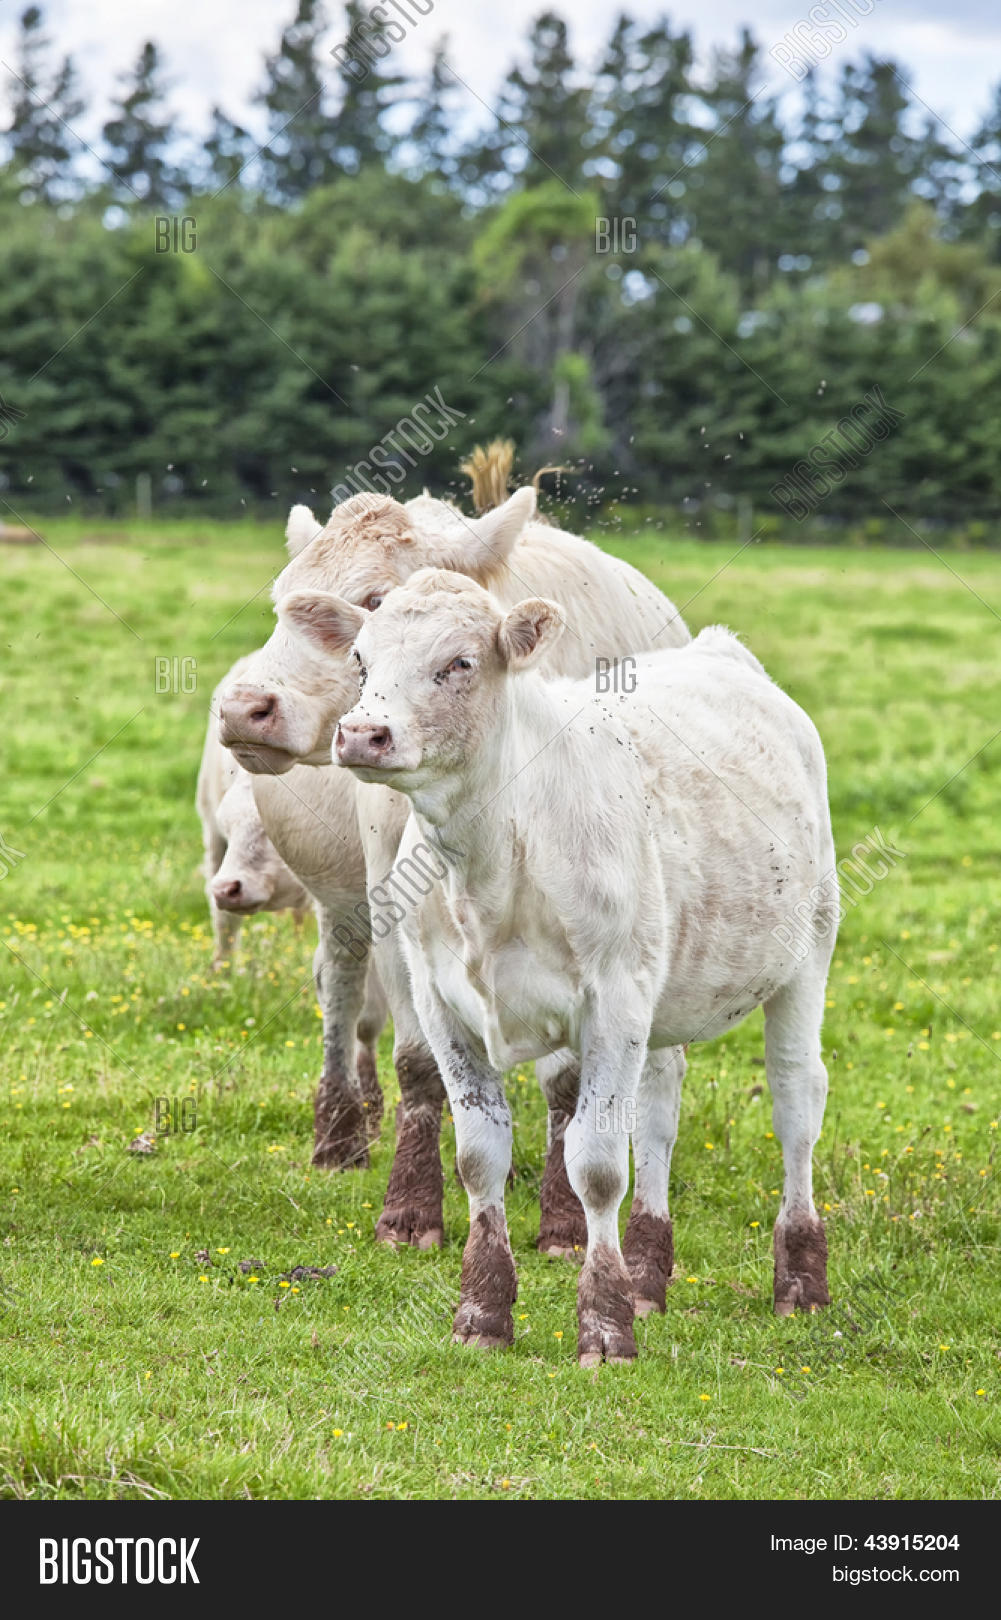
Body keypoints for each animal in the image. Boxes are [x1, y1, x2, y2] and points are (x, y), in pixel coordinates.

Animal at [217, 465, 691, 1254]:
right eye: (287, 598)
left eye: (376, 597)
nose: (243, 707)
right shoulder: (395, 905)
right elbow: (418, 1060)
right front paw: (410, 1206)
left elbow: (568, 1081)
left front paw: (562, 1215)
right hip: (342, 905)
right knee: (344, 995)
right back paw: (342, 1127)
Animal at [277, 568, 837, 1364]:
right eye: (359, 659)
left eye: (459, 663)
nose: (361, 734)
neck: (495, 858)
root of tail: (719, 653)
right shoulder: (444, 1006)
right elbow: (479, 1155)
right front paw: (482, 1312)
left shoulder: (613, 1000)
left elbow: (596, 1164)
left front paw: (604, 1325)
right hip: (663, 992)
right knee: (659, 1112)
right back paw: (647, 1275)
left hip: (806, 955)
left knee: (795, 1104)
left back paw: (800, 1281)